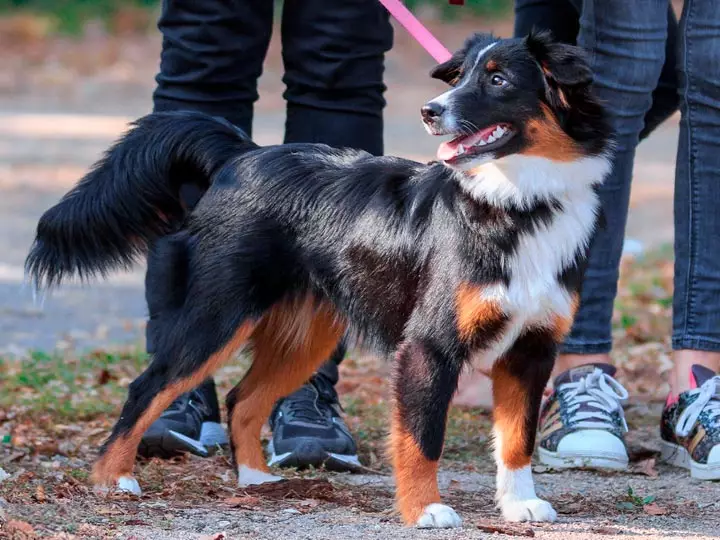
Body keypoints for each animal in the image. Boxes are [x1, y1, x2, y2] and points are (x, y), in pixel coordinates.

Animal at [26, 30, 612, 528]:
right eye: (462, 75)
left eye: (498, 79)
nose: (430, 111)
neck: (518, 202)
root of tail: (244, 155)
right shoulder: (429, 346)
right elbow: (423, 438)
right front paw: (425, 509)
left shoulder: (532, 348)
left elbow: (517, 439)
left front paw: (520, 505)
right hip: (218, 315)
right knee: (148, 386)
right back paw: (113, 478)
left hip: (307, 337)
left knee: (244, 398)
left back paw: (255, 478)